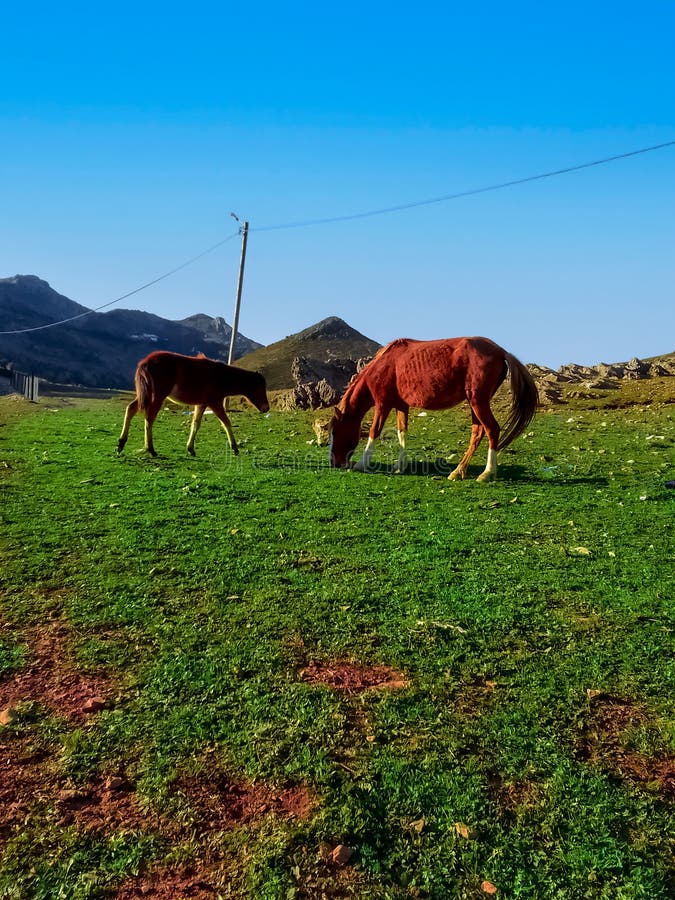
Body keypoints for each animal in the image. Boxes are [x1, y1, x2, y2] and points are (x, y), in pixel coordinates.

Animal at [117, 351, 269, 457]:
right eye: (260, 388)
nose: (266, 408)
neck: (221, 376)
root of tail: (146, 362)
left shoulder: (201, 404)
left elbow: (196, 424)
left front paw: (190, 449)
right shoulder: (215, 403)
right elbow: (226, 422)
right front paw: (235, 448)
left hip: (147, 395)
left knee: (131, 409)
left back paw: (121, 443)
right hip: (158, 396)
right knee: (149, 418)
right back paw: (150, 449)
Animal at [329, 336, 538, 482]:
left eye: (335, 431)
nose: (334, 463)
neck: (383, 365)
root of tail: (501, 351)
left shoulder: (382, 404)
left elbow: (374, 431)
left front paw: (361, 464)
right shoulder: (401, 406)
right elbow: (401, 432)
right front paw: (400, 465)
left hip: (478, 401)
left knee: (492, 430)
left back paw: (487, 473)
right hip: (475, 403)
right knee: (478, 432)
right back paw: (458, 471)